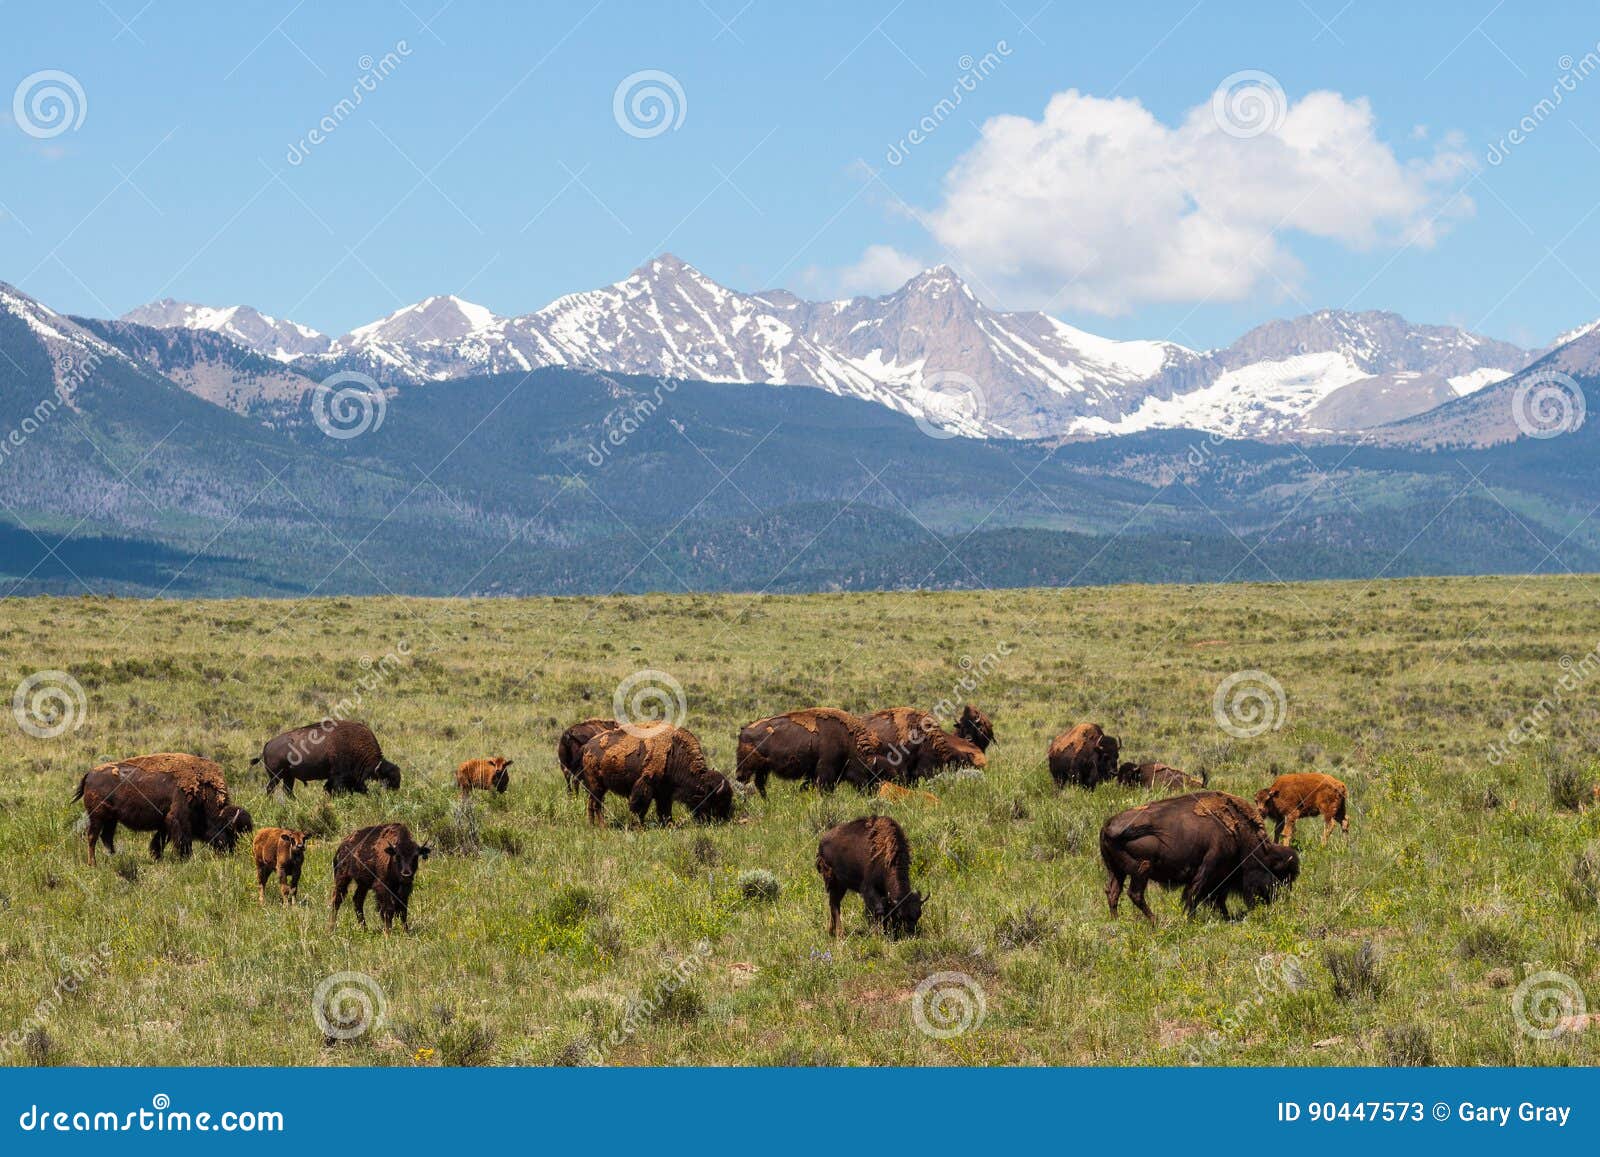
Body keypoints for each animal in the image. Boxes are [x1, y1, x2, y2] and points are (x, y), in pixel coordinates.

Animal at [252, 719, 401, 797]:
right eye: (386, 780)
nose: (394, 794)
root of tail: (268, 743)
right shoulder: (339, 777)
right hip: (276, 776)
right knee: (271, 789)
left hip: (289, 777)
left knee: (287, 791)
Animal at [580, 724, 734, 826]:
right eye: (717, 800)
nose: (725, 819)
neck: (674, 755)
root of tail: (587, 746)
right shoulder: (646, 785)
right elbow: (639, 806)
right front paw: (640, 826)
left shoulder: (665, 793)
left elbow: (664, 809)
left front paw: (668, 824)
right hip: (596, 786)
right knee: (595, 804)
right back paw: (601, 826)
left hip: (600, 787)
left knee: (593, 804)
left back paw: (594, 825)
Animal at [735, 708, 879, 797]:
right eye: (867, 771)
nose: (871, 792)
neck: (848, 740)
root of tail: (745, 729)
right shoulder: (825, 769)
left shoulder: (814, 773)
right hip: (748, 767)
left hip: (763, 768)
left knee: (759, 784)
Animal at [1100, 791, 1299, 922]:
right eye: (1279, 874)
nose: (1278, 900)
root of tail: (1108, 826)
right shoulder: (1209, 868)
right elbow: (1194, 894)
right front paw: (1191, 919)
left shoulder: (1221, 878)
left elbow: (1217, 898)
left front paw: (1225, 917)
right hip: (1142, 869)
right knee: (1135, 894)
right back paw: (1155, 921)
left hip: (1116, 871)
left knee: (1113, 892)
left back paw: (1116, 920)